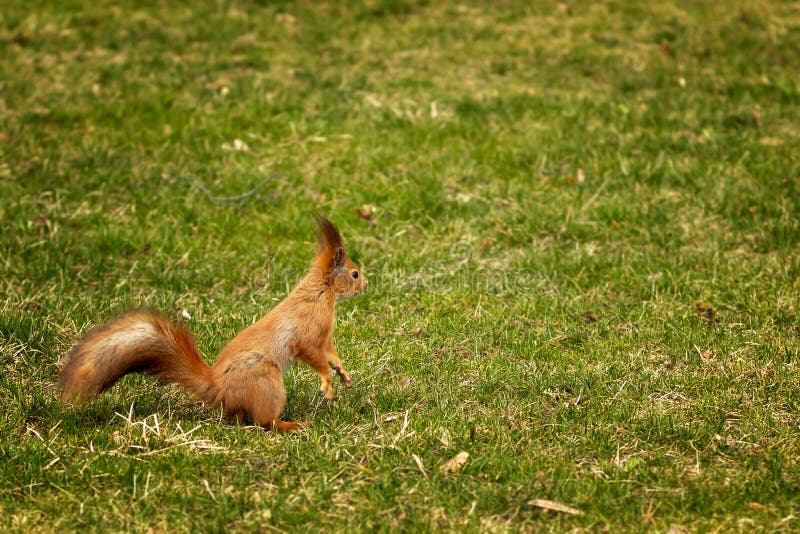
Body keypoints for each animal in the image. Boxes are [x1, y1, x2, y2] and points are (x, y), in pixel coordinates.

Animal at [58, 215, 367, 431]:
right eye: (354, 273)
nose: (365, 284)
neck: (321, 292)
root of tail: (217, 386)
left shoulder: (325, 336)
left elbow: (331, 353)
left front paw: (342, 372)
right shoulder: (308, 332)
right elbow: (313, 355)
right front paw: (327, 382)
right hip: (265, 379)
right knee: (265, 422)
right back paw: (291, 425)